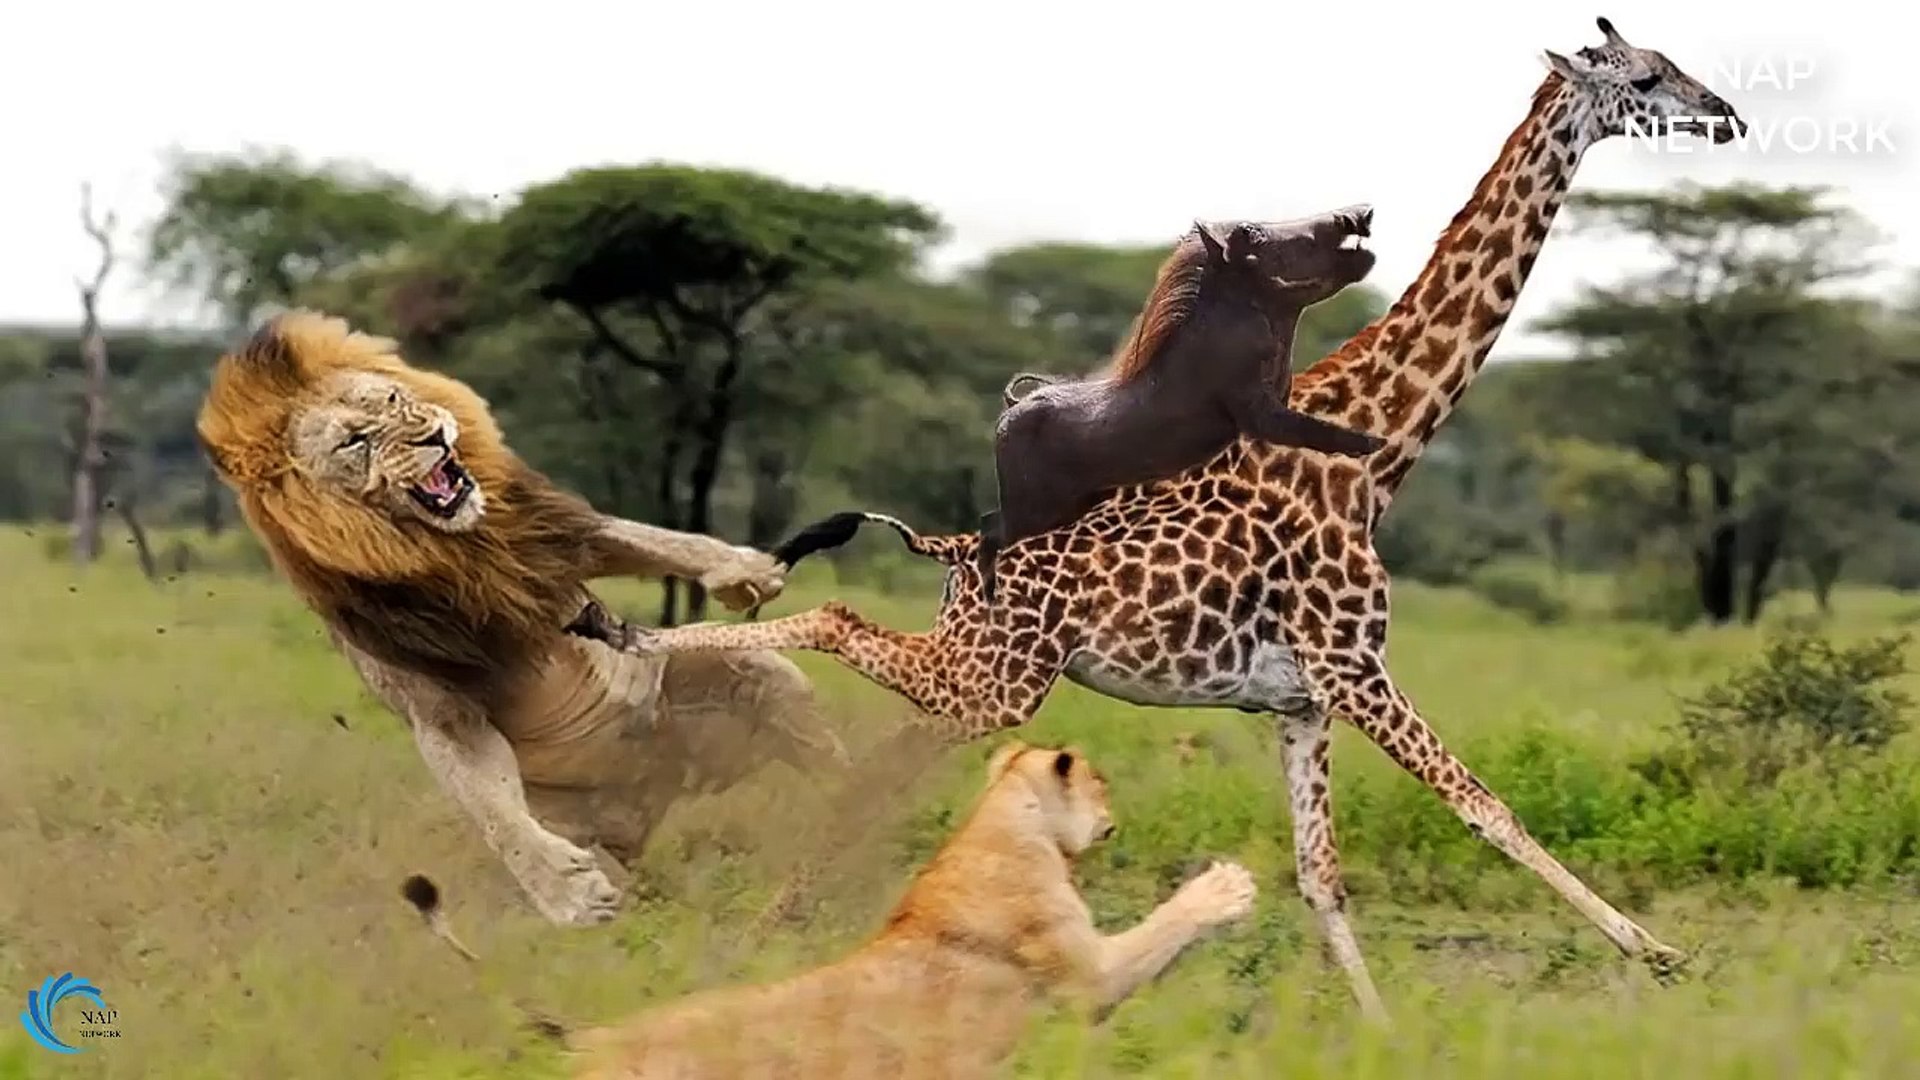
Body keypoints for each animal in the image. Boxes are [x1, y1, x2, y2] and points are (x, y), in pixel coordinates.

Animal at [579, 18, 1747, 1024]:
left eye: (1674, 64)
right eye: (1645, 78)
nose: (1725, 112)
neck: (1383, 449)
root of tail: (957, 552)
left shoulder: (1302, 700)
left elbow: (1322, 876)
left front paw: (1378, 1030)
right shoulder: (1356, 667)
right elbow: (1484, 805)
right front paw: (1663, 955)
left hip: (980, 679)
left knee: (874, 758)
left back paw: (778, 923)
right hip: (997, 679)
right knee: (836, 633)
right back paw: (635, 651)